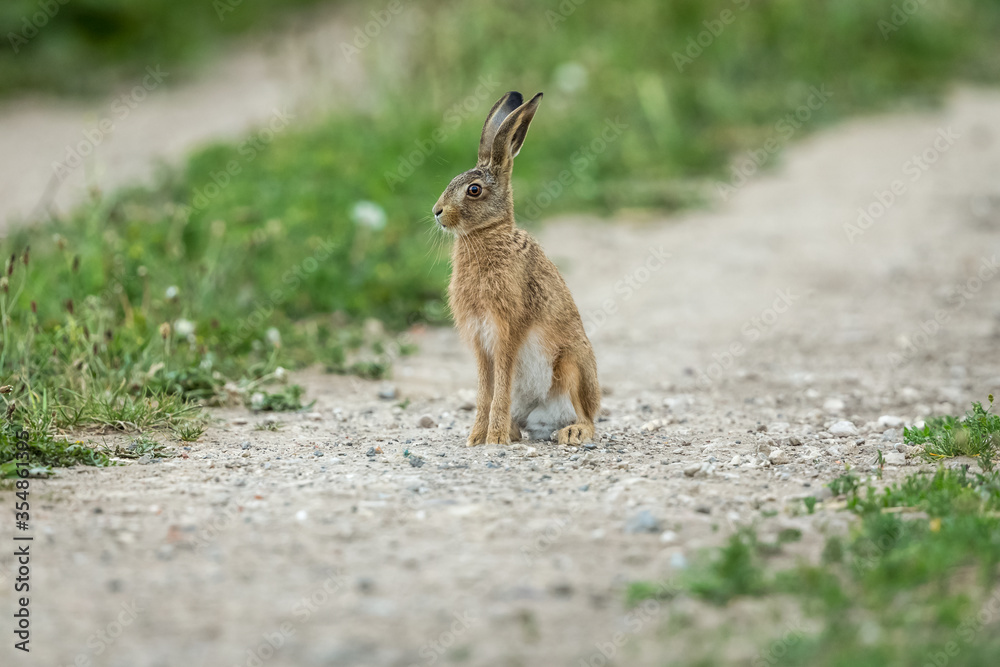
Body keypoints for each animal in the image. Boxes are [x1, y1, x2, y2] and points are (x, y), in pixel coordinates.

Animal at [432, 91, 600, 447]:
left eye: (474, 190)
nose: (437, 211)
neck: (487, 234)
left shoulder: (507, 330)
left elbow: (499, 388)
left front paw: (493, 439)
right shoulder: (481, 342)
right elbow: (485, 391)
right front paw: (476, 438)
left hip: (572, 367)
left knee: (588, 416)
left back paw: (572, 432)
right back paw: (514, 431)